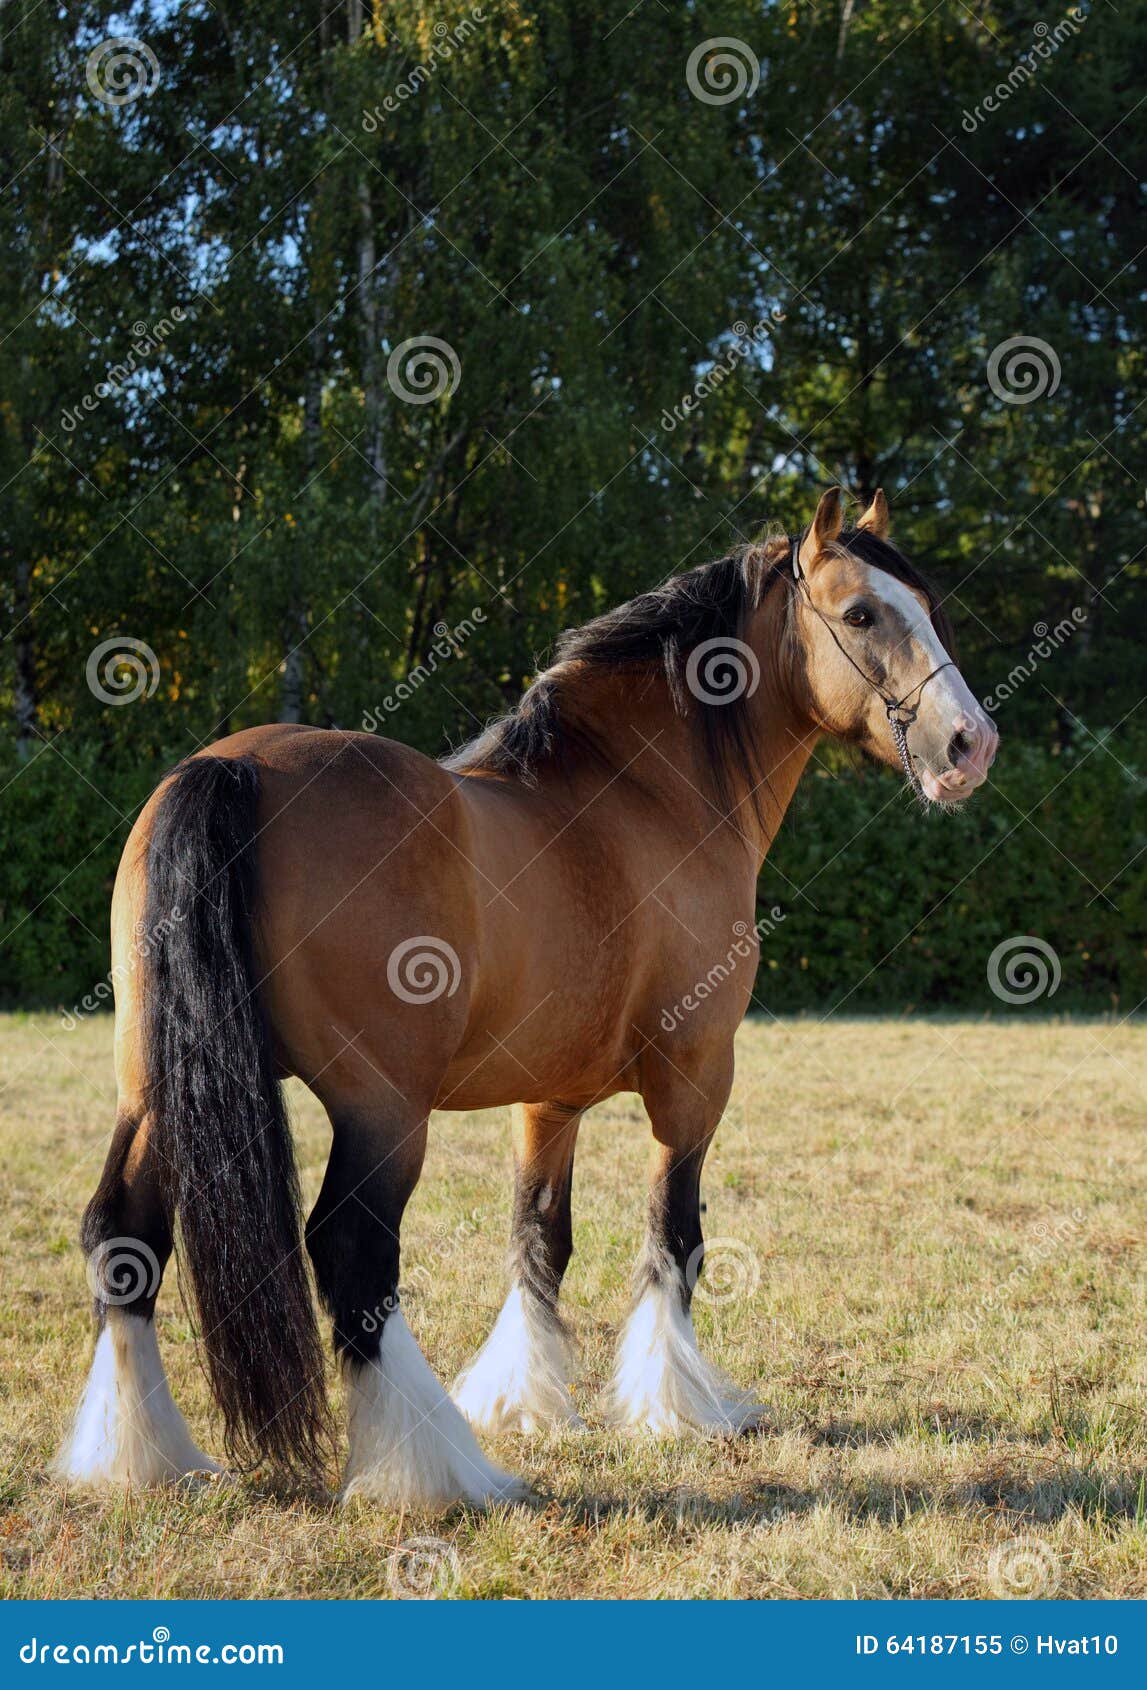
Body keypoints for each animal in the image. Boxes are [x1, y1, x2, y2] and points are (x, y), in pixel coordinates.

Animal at [54, 487, 998, 1508]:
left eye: (928, 604)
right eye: (861, 614)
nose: (970, 743)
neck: (643, 793)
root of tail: (235, 770)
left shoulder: (547, 1101)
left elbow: (539, 1239)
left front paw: (526, 1401)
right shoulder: (696, 1078)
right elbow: (673, 1238)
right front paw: (675, 1407)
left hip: (155, 1090)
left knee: (124, 1237)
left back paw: (142, 1459)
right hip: (382, 1109)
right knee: (353, 1255)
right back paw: (431, 1473)